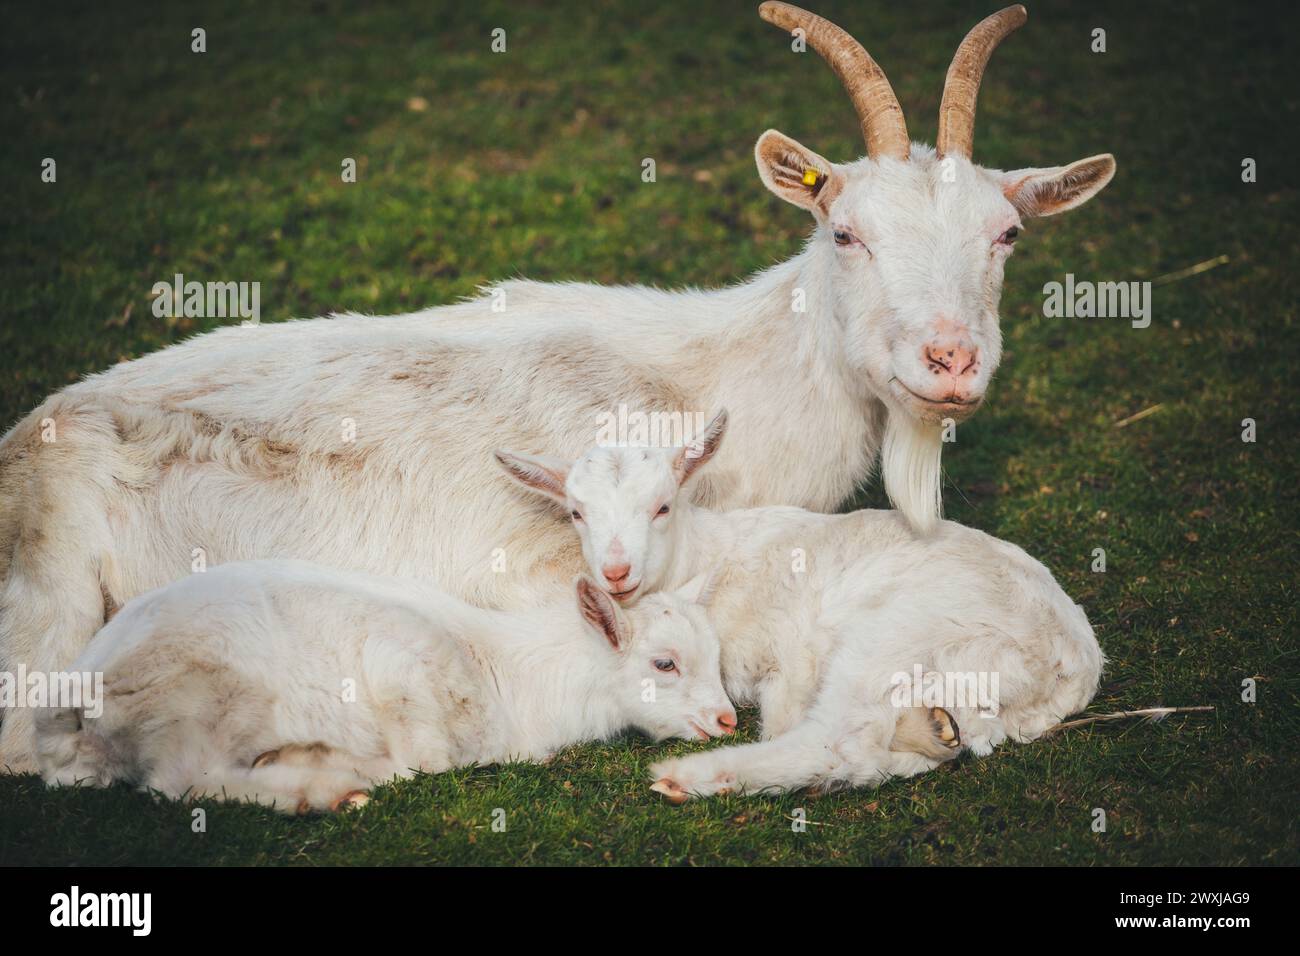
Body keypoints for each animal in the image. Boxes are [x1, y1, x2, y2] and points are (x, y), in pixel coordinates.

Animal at [35, 561, 734, 813]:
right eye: (664, 664)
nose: (728, 721)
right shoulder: (399, 666)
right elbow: (422, 762)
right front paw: (338, 763)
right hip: (201, 695)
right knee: (179, 780)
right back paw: (325, 789)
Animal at [498, 409, 1104, 800]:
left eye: (663, 507)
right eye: (576, 513)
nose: (616, 572)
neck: (708, 554)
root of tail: (1069, 667)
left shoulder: (785, 656)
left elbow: (784, 715)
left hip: (895, 635)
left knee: (836, 741)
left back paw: (691, 778)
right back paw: (932, 731)